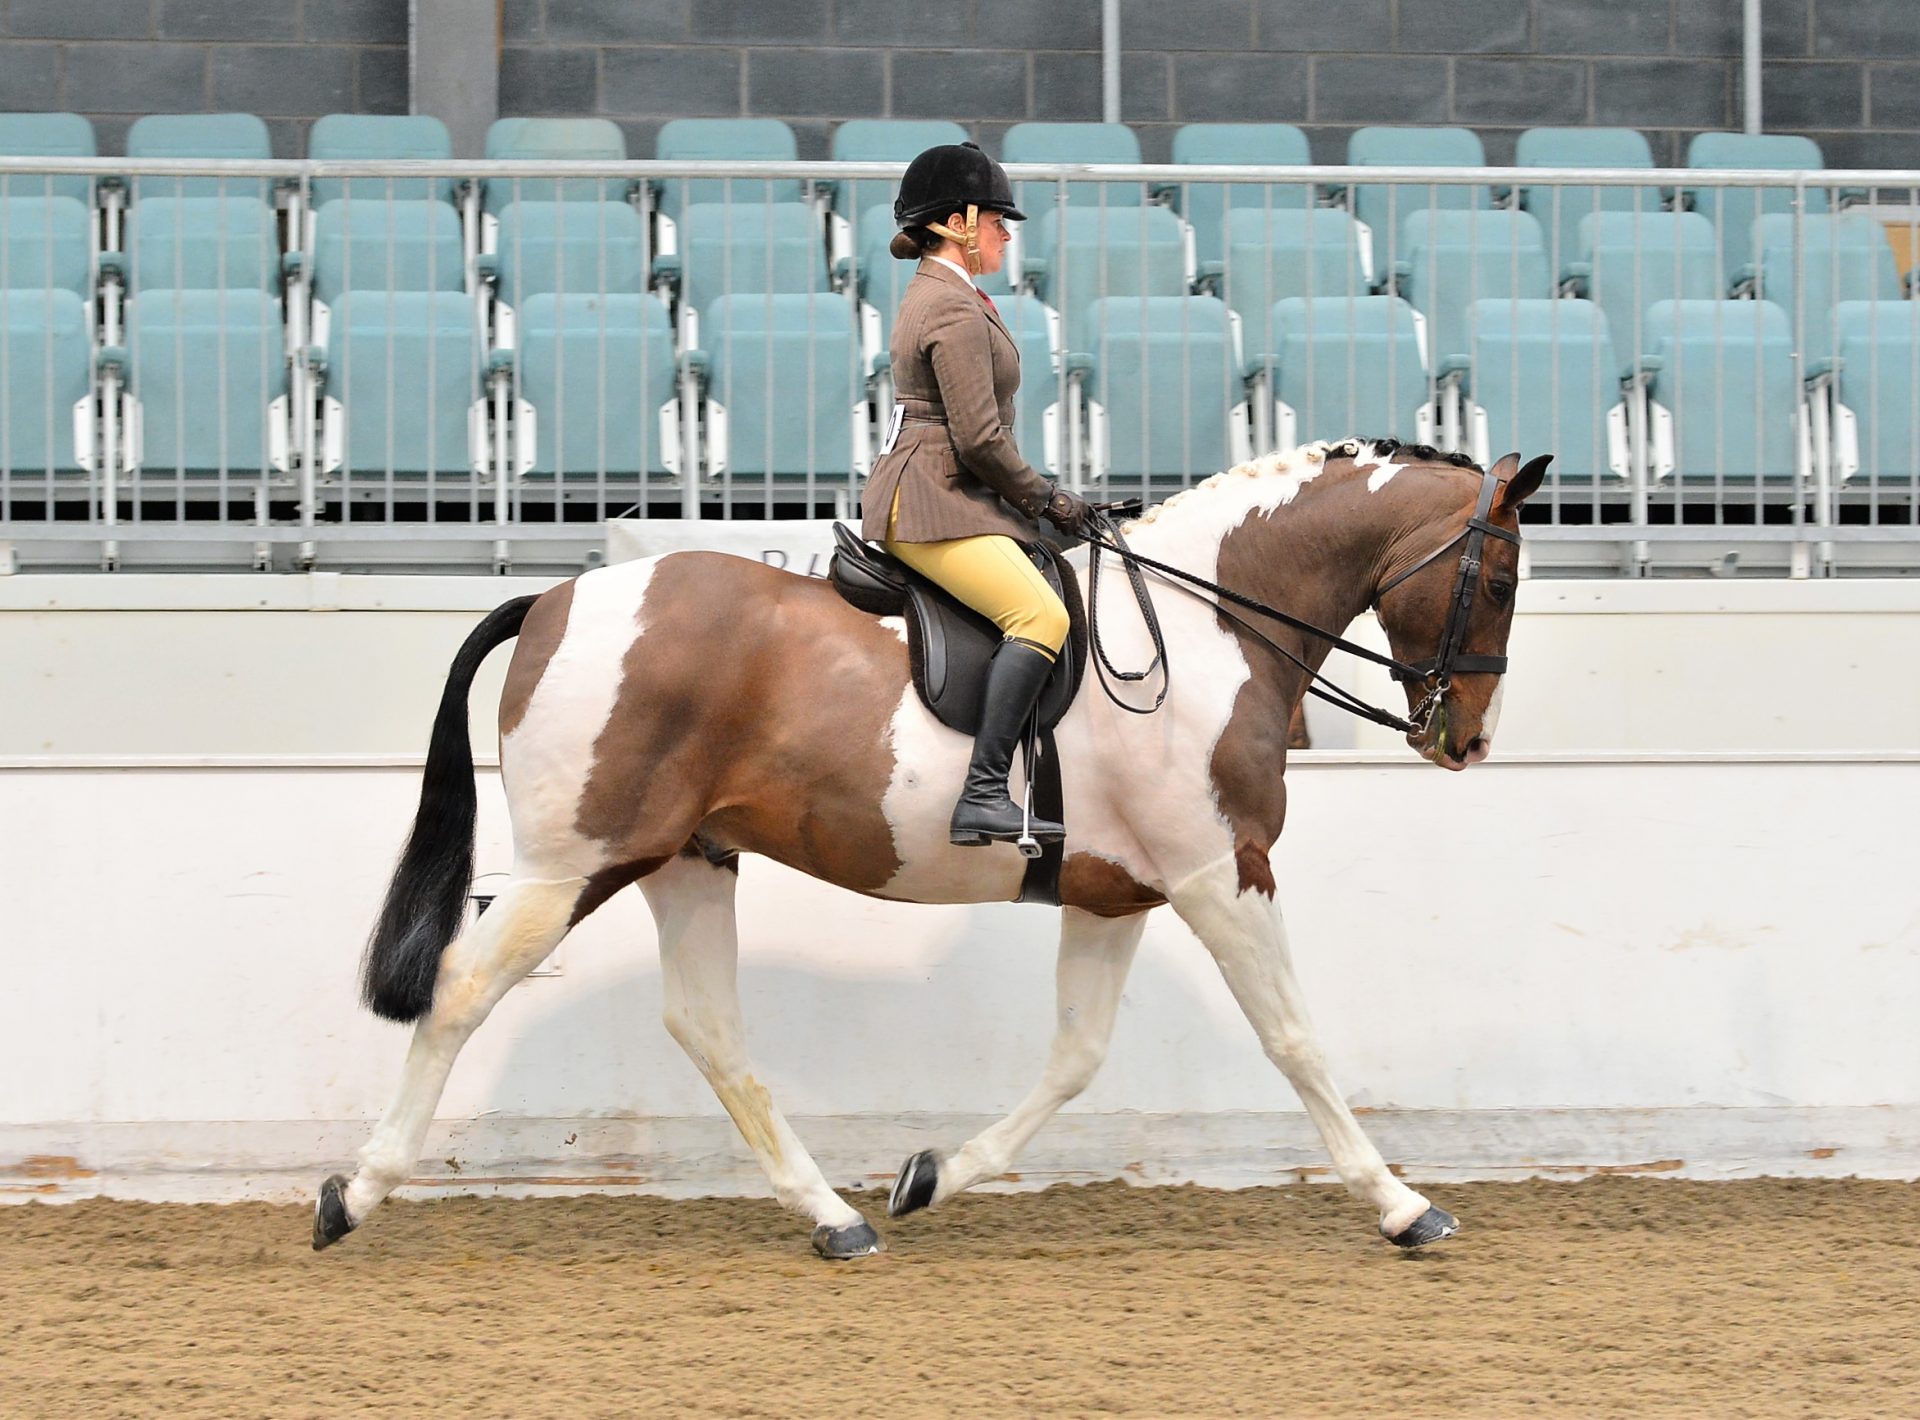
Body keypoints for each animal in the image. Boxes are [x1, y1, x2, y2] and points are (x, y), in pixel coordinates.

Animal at [313, 438, 1549, 1259]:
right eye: (1496, 579)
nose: (1468, 739)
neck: (1209, 627)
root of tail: (554, 599)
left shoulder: (1115, 894)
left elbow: (1076, 1057)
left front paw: (931, 1176)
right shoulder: (1220, 874)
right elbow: (1295, 1040)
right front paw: (1404, 1204)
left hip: (685, 860)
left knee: (707, 1028)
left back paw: (835, 1217)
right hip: (575, 863)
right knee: (462, 991)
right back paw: (354, 1195)